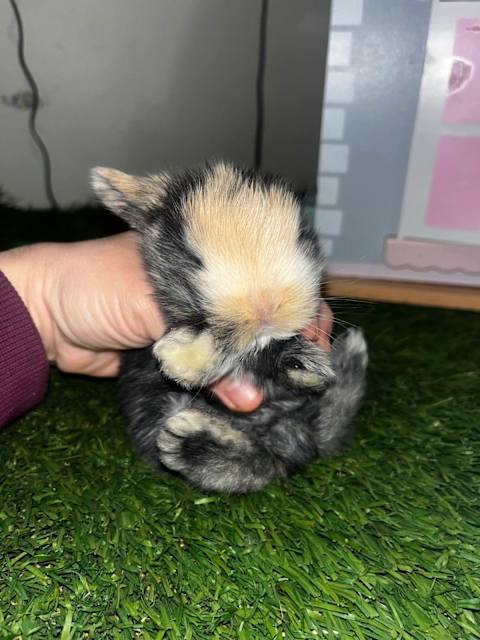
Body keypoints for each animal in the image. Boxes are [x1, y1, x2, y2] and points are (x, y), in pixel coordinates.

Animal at [91, 162, 368, 493]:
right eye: (192, 257)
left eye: (302, 236)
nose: (266, 308)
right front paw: (182, 362)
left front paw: (305, 365)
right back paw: (186, 444)